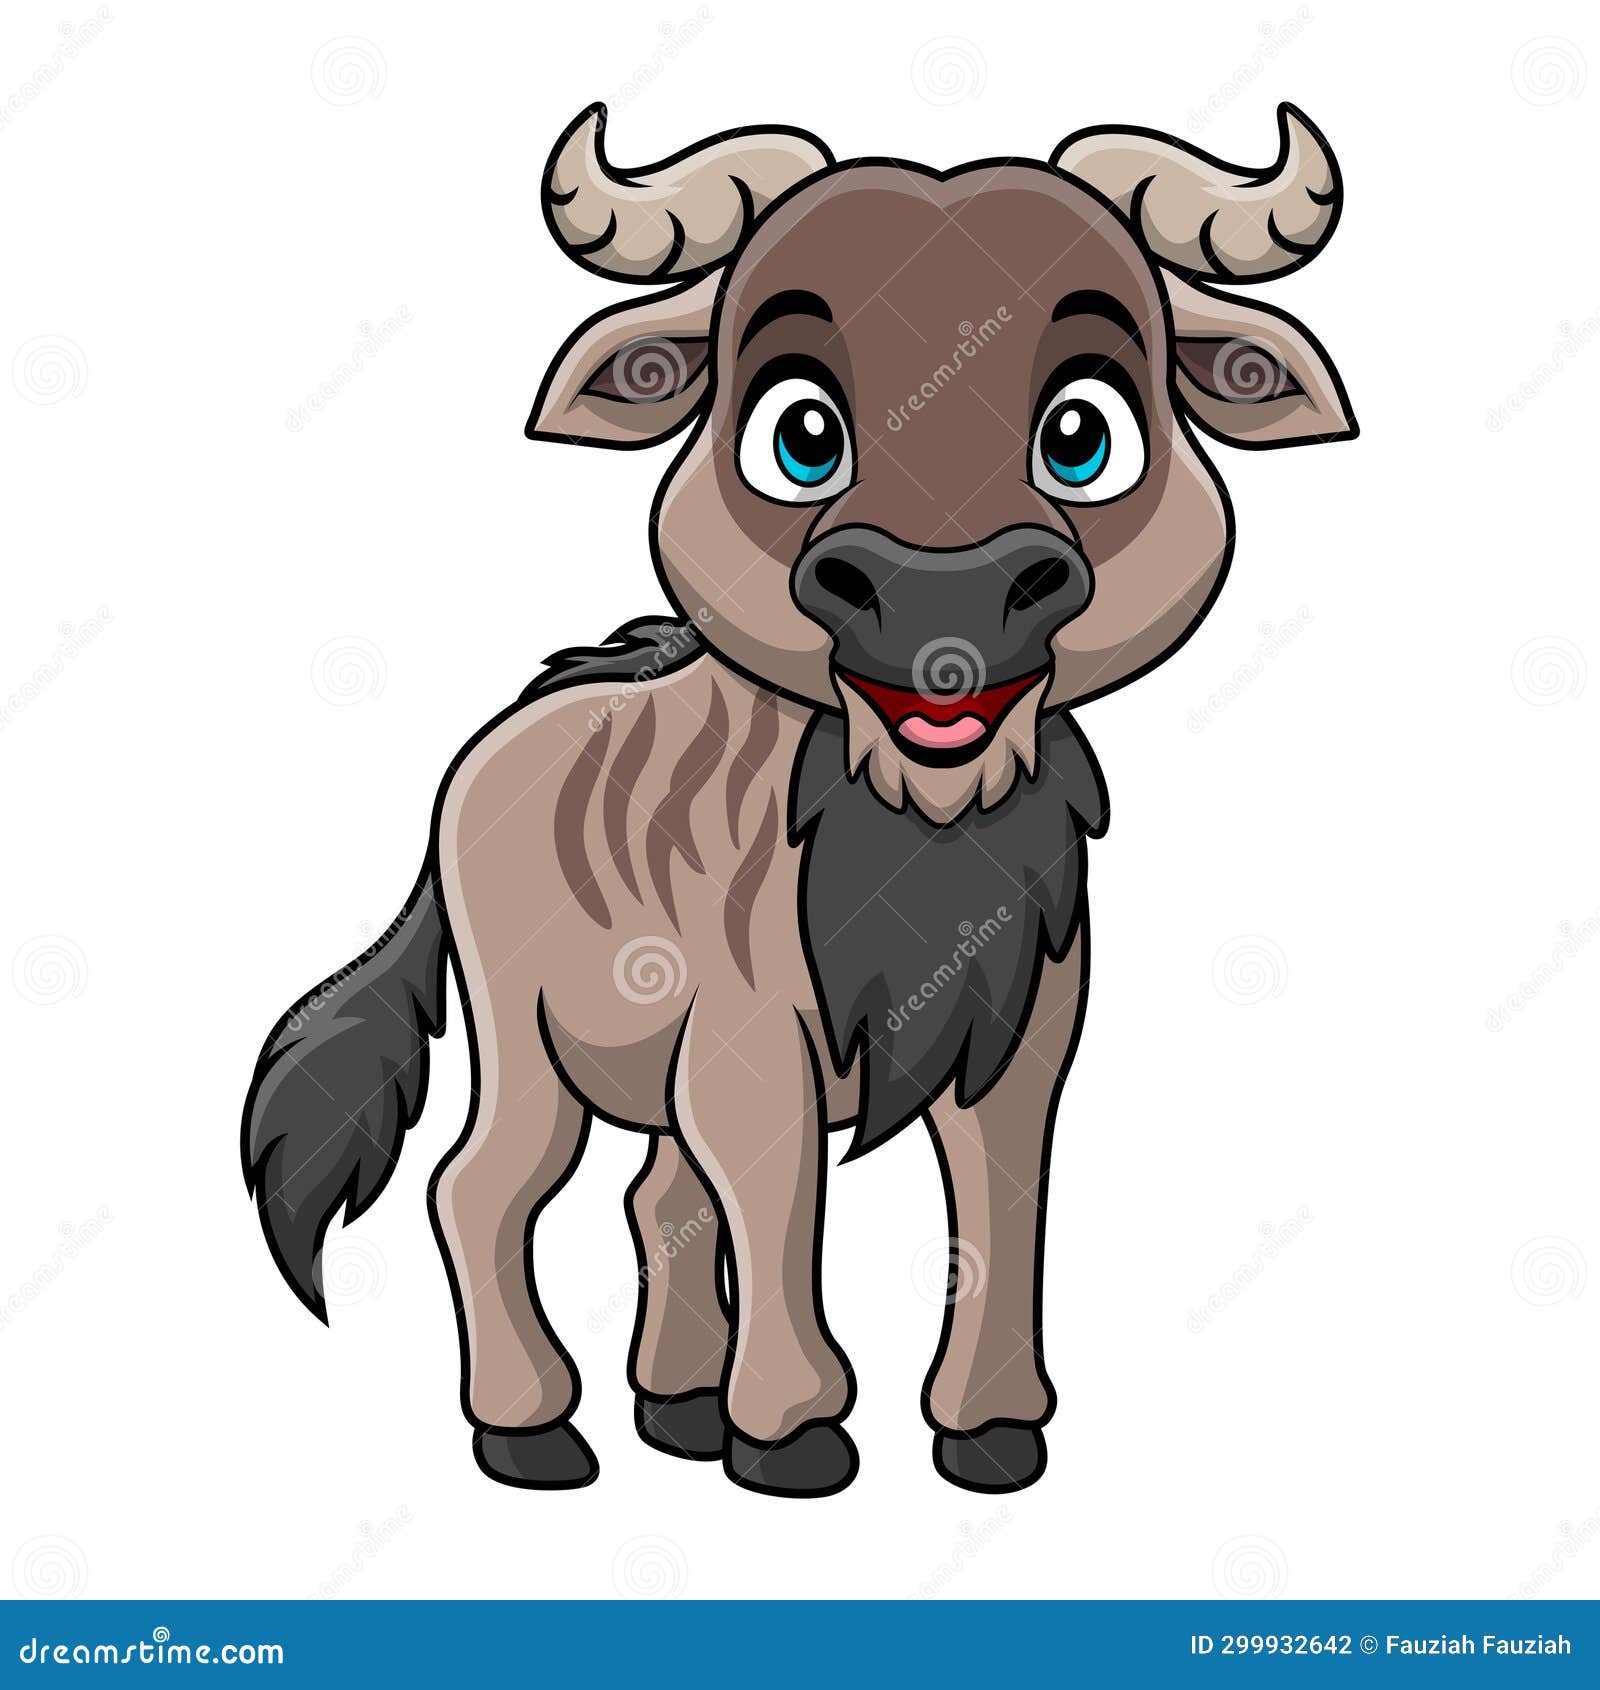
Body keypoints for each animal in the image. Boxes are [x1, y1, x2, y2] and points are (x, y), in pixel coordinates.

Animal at [244, 102, 1355, 1496]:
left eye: (1082, 432)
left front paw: (989, 1427)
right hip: (527, 1045)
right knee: (483, 1186)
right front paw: (792, 1429)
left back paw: (674, 1406)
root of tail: (486, 752)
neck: (918, 833)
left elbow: (1000, 1211)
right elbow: (779, 1211)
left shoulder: (1022, 1041)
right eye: (801, 433)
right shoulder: (751, 1048)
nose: (943, 596)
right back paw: (532, 1427)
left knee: (654, 1197)